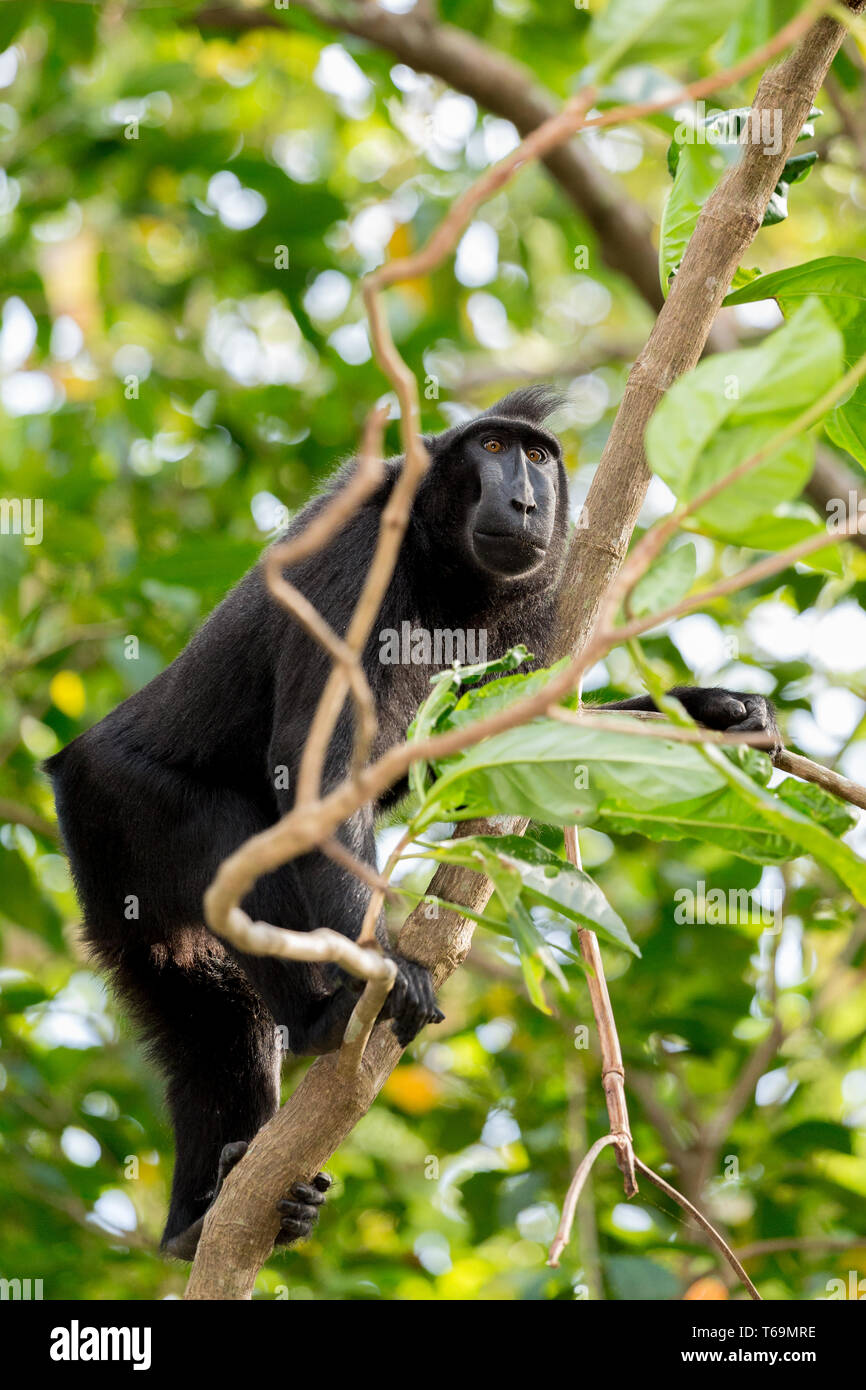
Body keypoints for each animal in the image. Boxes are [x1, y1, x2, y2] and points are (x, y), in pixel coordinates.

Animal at [45, 386, 778, 1258]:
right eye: (492, 447)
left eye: (539, 457)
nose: (524, 498)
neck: (442, 570)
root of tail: (69, 768)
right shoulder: (360, 552)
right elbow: (318, 768)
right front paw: (388, 966)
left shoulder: (533, 617)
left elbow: (507, 744)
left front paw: (712, 710)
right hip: (116, 799)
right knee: (236, 836)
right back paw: (320, 1023)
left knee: (207, 1021)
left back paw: (202, 1220)